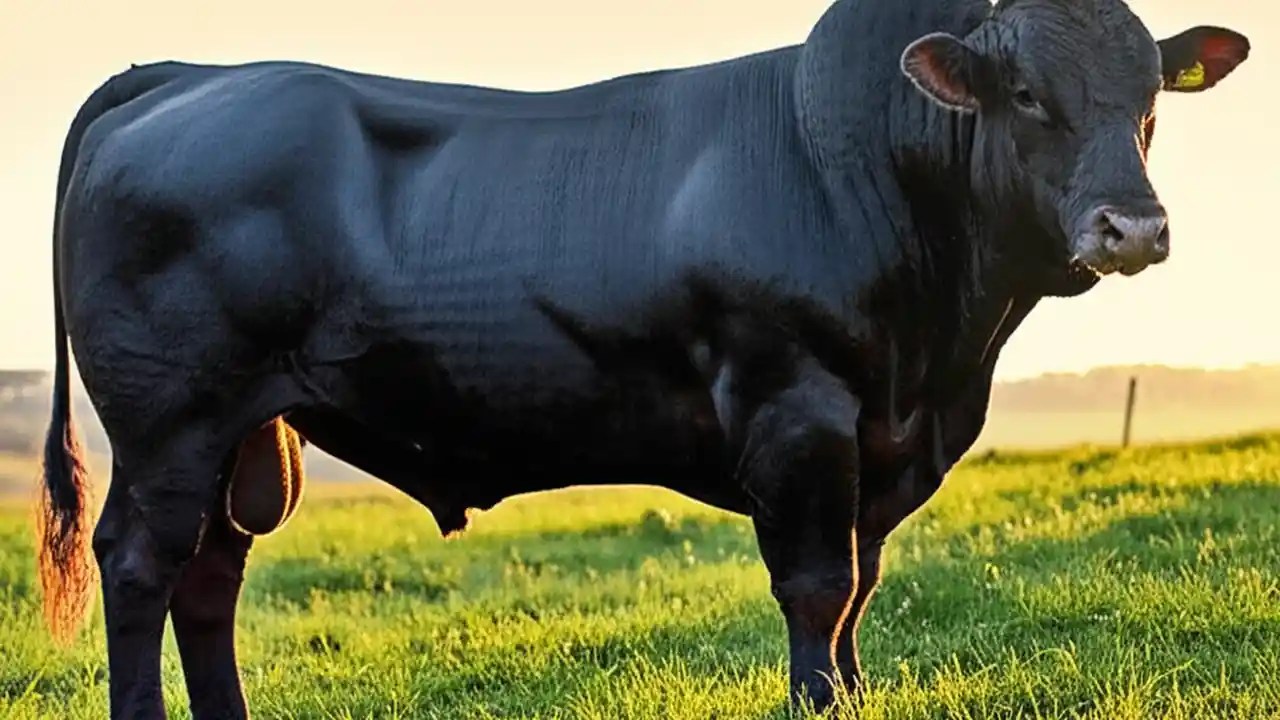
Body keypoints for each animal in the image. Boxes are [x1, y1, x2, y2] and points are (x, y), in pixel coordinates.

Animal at [37, 0, 1248, 716]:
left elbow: (860, 586)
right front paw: (819, 700)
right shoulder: (798, 409)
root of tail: (181, 71)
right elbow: (817, 586)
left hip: (243, 428)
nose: (1133, 228)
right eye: (1029, 96)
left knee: (210, 576)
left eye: (1148, 100)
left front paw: (854, 692)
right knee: (140, 565)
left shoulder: (884, 431)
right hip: (169, 420)